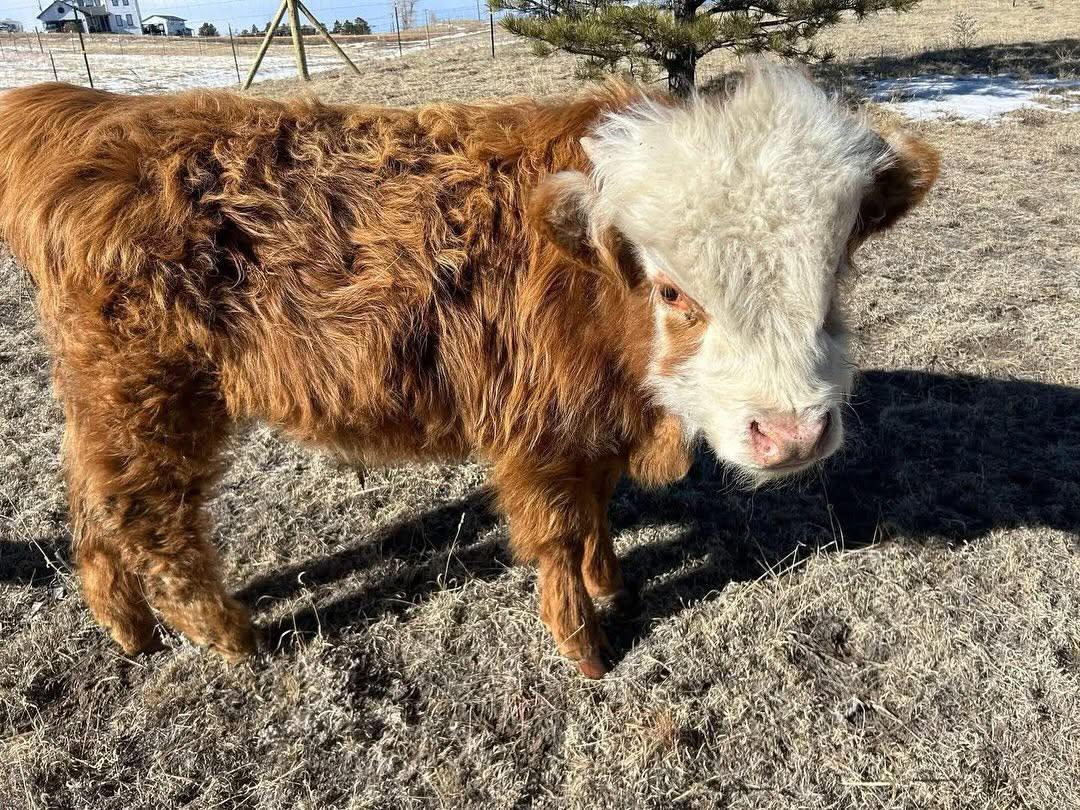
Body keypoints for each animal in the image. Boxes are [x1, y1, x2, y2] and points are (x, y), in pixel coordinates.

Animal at [0, 64, 938, 678]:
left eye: (837, 267)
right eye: (673, 290)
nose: (791, 433)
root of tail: (93, 119)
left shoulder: (588, 428)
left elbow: (597, 515)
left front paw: (614, 582)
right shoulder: (537, 436)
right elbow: (557, 534)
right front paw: (588, 650)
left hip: (107, 402)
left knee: (90, 503)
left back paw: (128, 632)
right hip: (154, 399)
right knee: (151, 520)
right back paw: (234, 639)